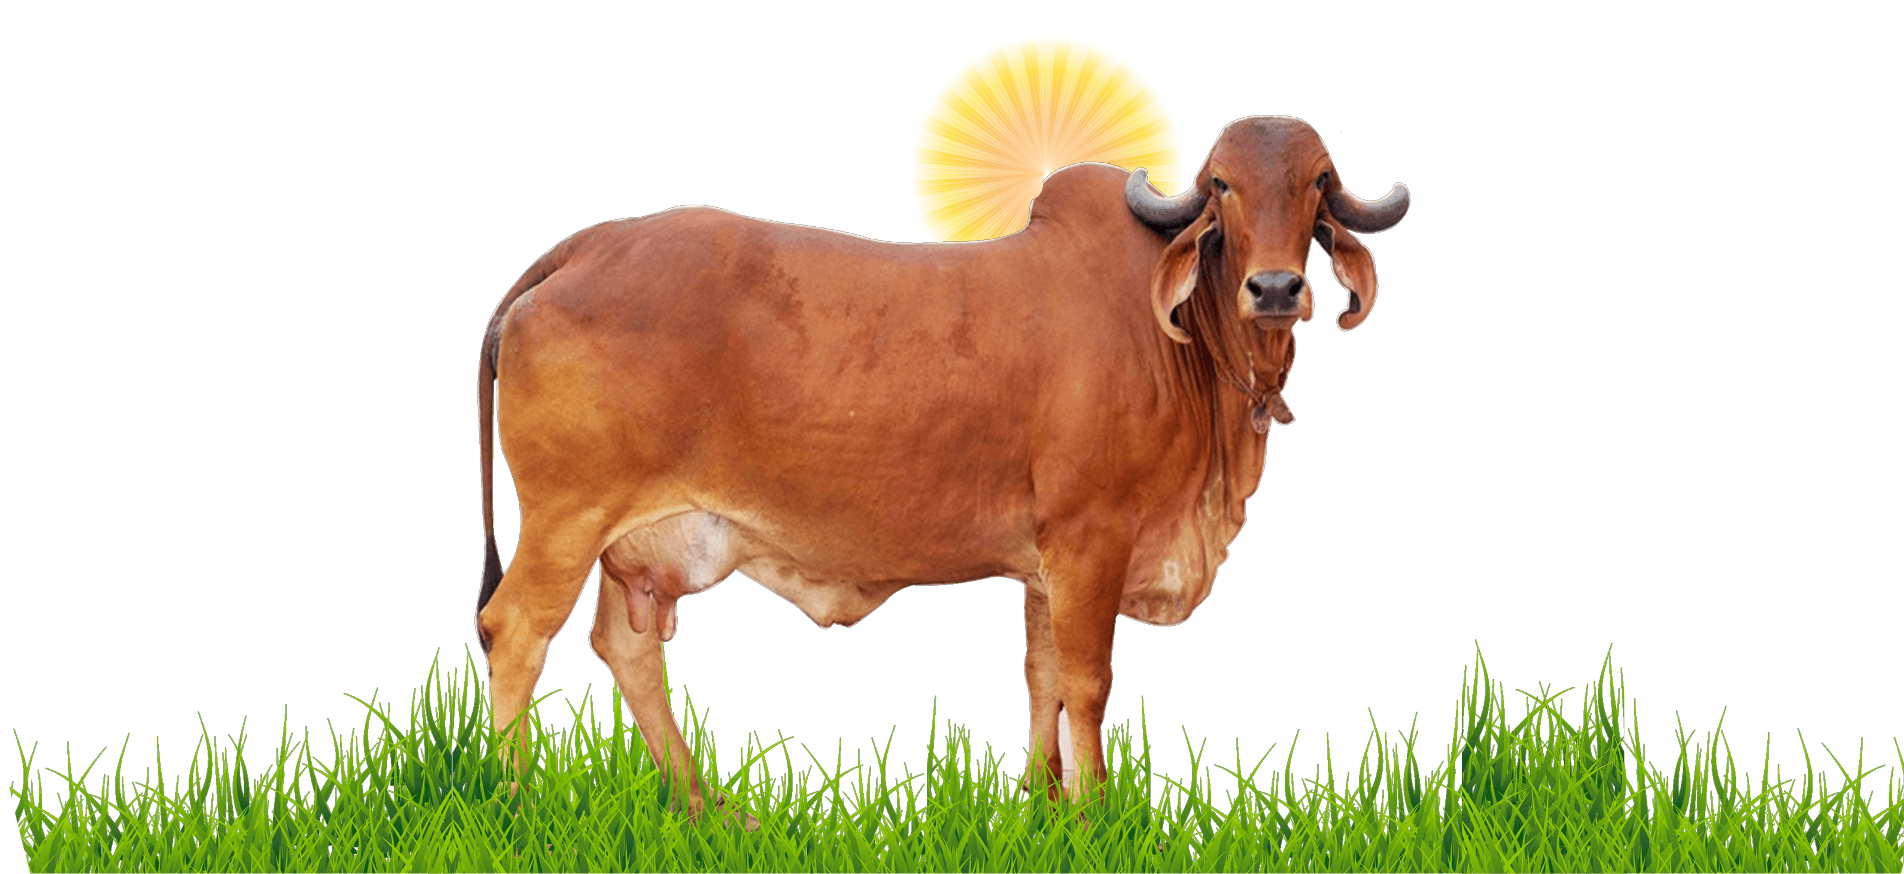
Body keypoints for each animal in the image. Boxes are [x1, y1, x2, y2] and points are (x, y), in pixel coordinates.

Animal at [473, 115, 1407, 824]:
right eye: (1220, 188)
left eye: (1319, 182)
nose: (1276, 288)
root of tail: (591, 245)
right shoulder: (1092, 540)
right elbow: (1088, 683)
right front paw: (1097, 815)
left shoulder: (1046, 566)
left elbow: (1041, 680)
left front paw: (1044, 804)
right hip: (565, 519)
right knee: (515, 631)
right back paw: (519, 801)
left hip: (632, 544)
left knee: (625, 647)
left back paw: (708, 810)